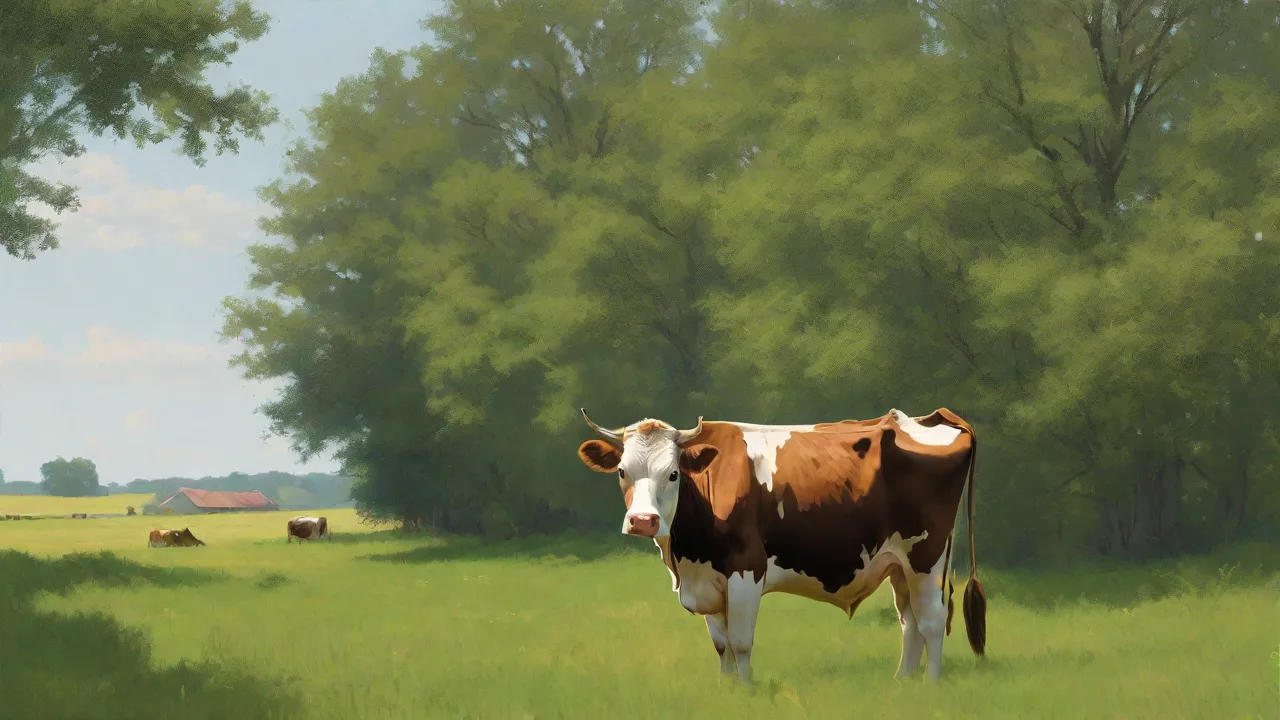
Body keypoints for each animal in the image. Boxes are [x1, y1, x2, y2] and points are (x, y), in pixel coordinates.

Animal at [576, 408, 987, 685]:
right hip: (900, 564)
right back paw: (903, 684)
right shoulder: (707, 577)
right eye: (622, 471)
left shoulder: (745, 569)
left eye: (673, 473)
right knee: (910, 621)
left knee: (932, 620)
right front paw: (727, 691)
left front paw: (745, 691)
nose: (643, 520)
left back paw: (930, 687)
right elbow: (722, 645)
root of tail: (929, 417)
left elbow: (741, 642)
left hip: (926, 556)